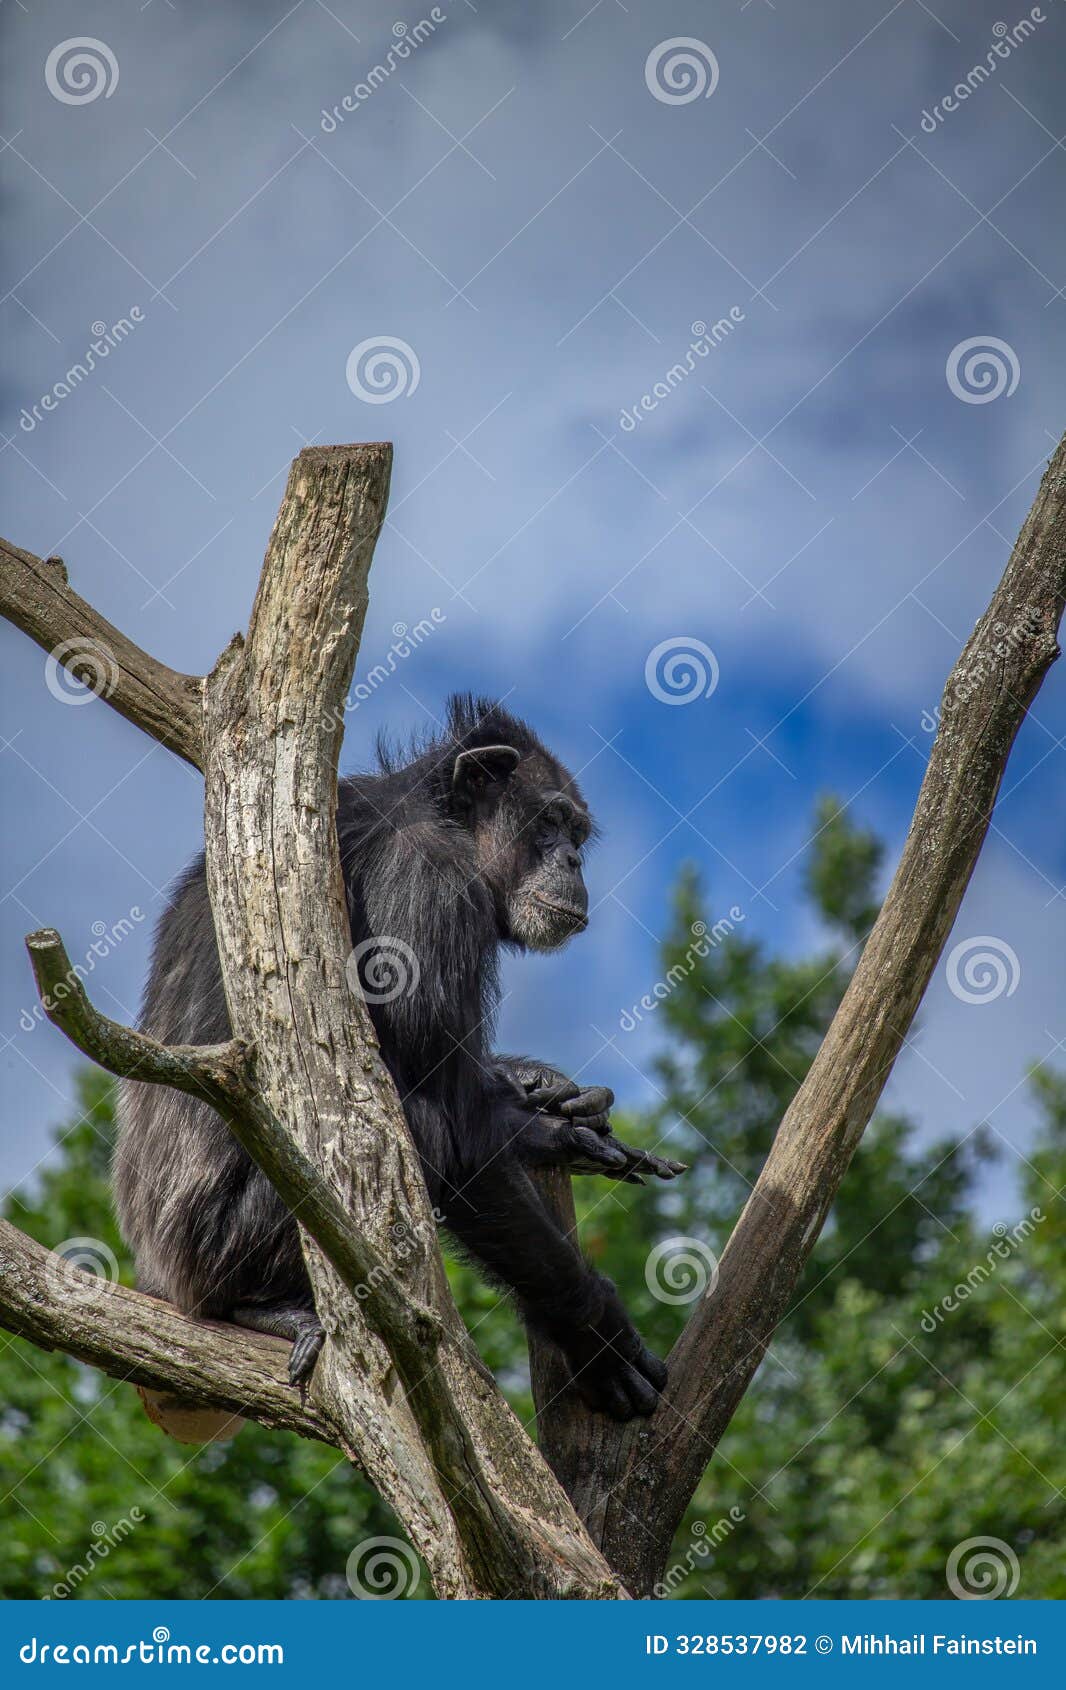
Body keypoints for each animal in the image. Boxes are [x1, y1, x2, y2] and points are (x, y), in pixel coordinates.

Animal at [115, 695, 685, 1421]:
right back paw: (263, 1309)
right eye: (552, 821)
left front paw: (551, 1101)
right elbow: (461, 1133)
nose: (574, 861)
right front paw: (599, 1334)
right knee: (415, 1130)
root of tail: (157, 1280)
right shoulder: (425, 887)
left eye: (578, 833)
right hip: (214, 1250)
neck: (443, 818)